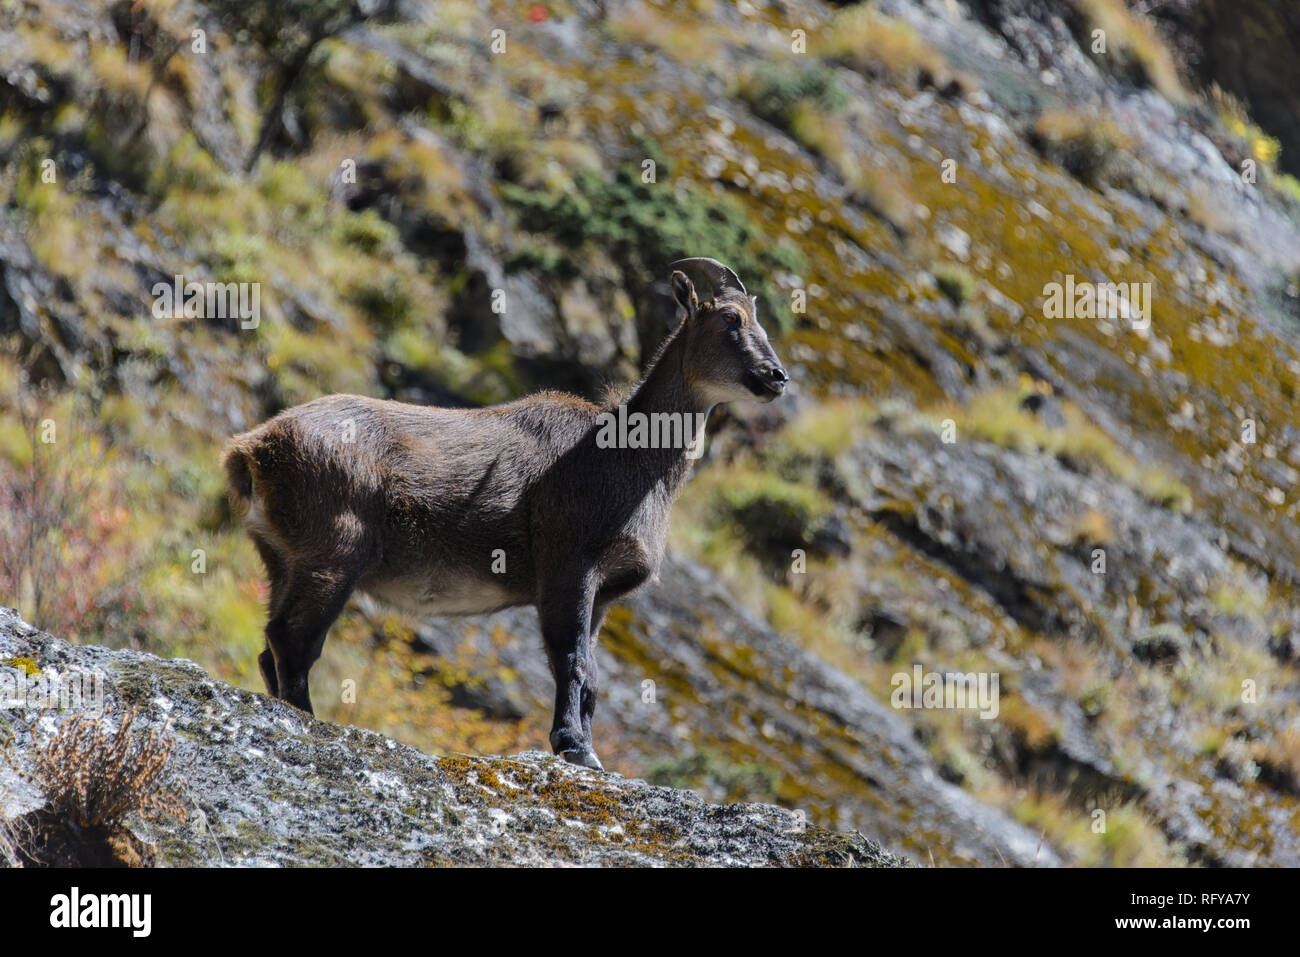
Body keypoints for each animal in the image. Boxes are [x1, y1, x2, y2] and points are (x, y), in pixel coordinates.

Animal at [222, 258, 788, 770]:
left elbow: (592, 677)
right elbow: (571, 661)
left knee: (271, 642)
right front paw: (575, 749)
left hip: (281, 557)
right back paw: (308, 718)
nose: (776, 377)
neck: (625, 456)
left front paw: (587, 750)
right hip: (335, 551)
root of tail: (253, 447)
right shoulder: (569, 566)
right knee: (293, 639)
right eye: (731, 319)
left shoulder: (603, 595)